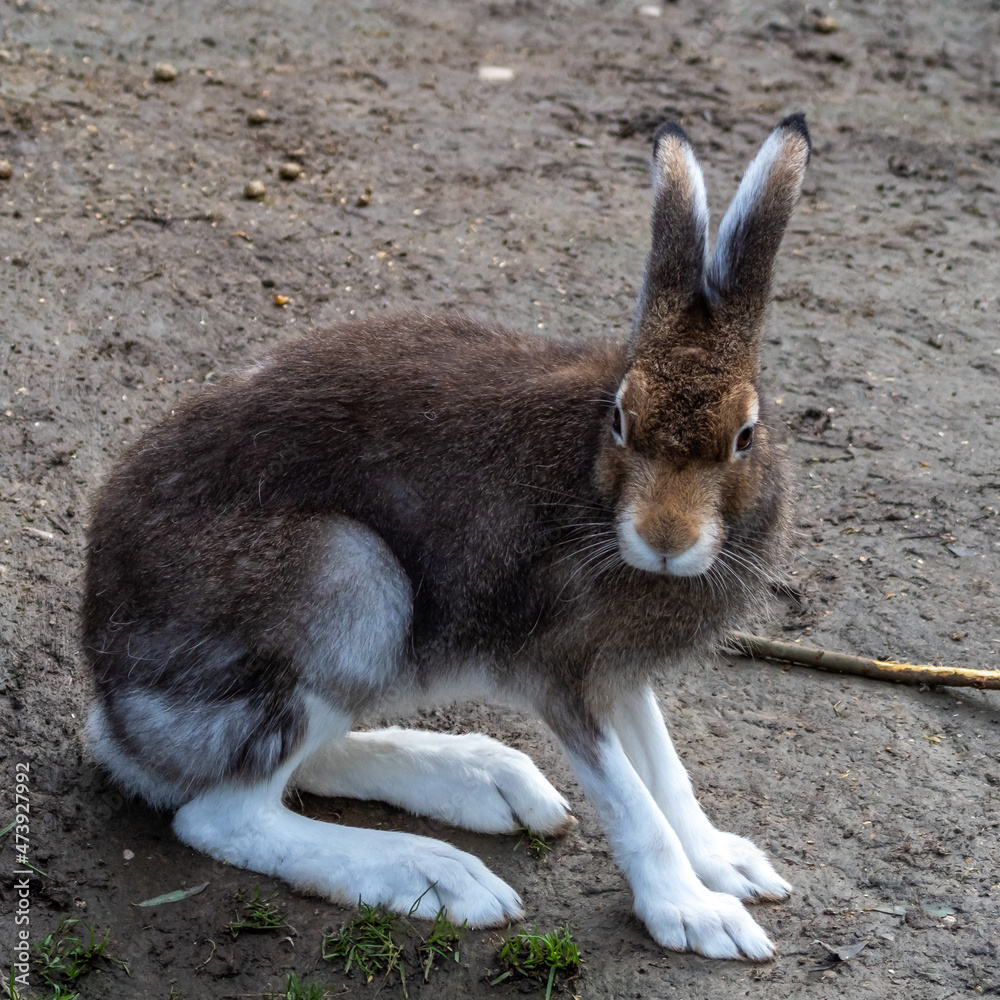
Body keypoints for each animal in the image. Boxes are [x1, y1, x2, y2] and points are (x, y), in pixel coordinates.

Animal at [83, 114, 810, 961]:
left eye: (746, 436)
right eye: (622, 421)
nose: (667, 538)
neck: (595, 490)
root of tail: (116, 710)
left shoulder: (616, 670)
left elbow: (666, 769)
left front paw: (727, 863)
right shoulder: (557, 667)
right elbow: (632, 800)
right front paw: (696, 915)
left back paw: (485, 783)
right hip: (349, 585)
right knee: (222, 813)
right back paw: (436, 875)